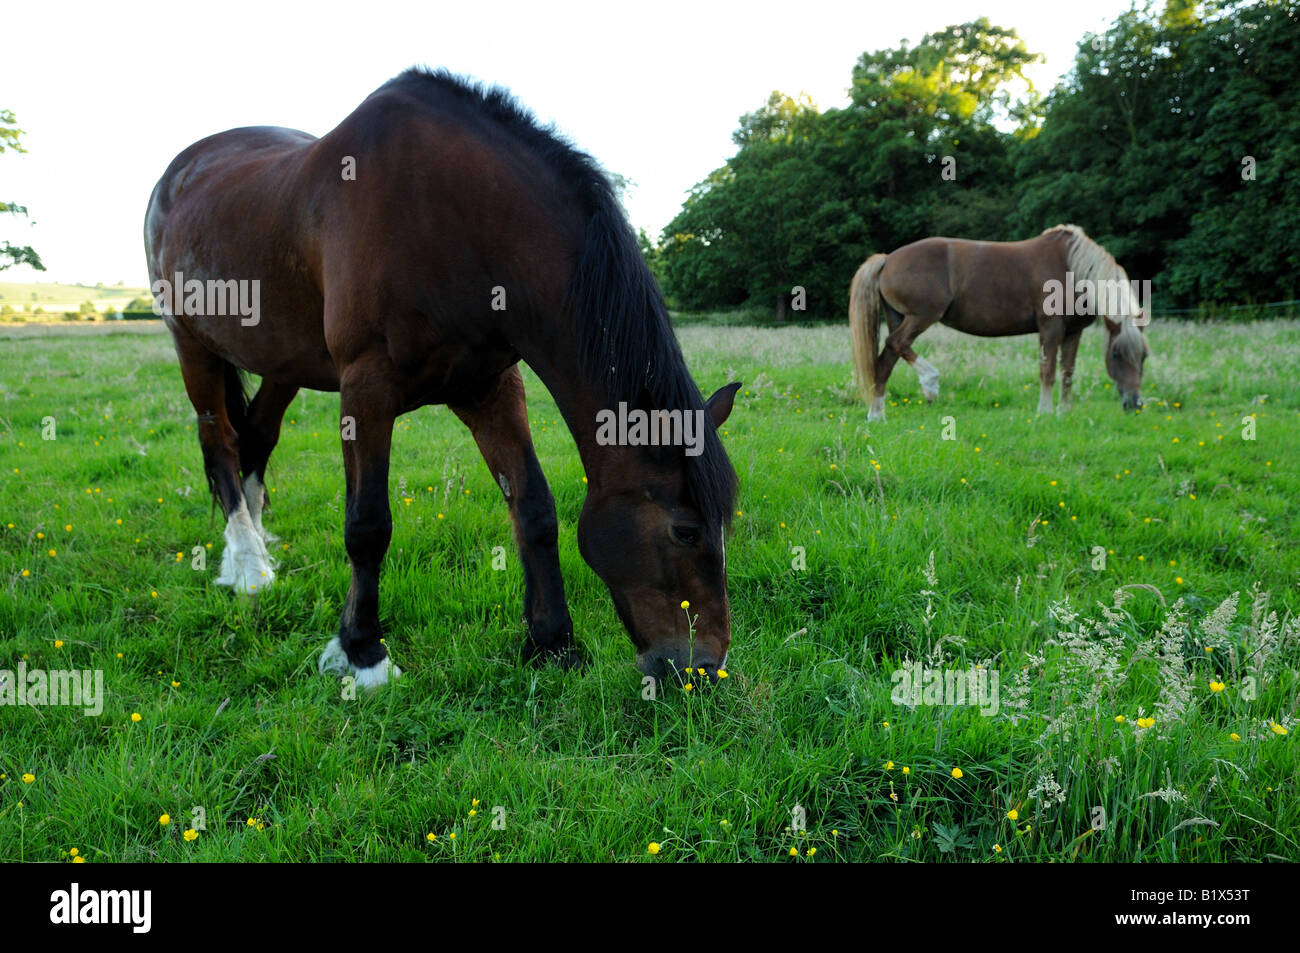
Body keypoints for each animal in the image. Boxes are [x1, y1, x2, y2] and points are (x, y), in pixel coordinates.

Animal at [144, 68, 741, 688]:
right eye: (685, 530)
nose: (704, 667)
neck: (452, 222)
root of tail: (180, 172)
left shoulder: (491, 389)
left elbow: (534, 508)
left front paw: (553, 642)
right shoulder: (366, 390)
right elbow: (368, 525)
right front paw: (363, 652)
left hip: (284, 362)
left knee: (258, 437)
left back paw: (259, 551)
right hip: (193, 347)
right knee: (220, 443)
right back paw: (246, 566)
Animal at [848, 225, 1149, 422]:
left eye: (1144, 356)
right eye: (1116, 354)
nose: (1135, 404)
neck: (1072, 268)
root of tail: (888, 258)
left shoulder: (1073, 332)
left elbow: (1067, 372)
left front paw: (1064, 412)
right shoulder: (1050, 328)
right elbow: (1048, 370)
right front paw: (1045, 411)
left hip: (899, 317)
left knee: (885, 361)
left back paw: (876, 415)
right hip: (921, 317)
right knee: (896, 344)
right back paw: (929, 383)